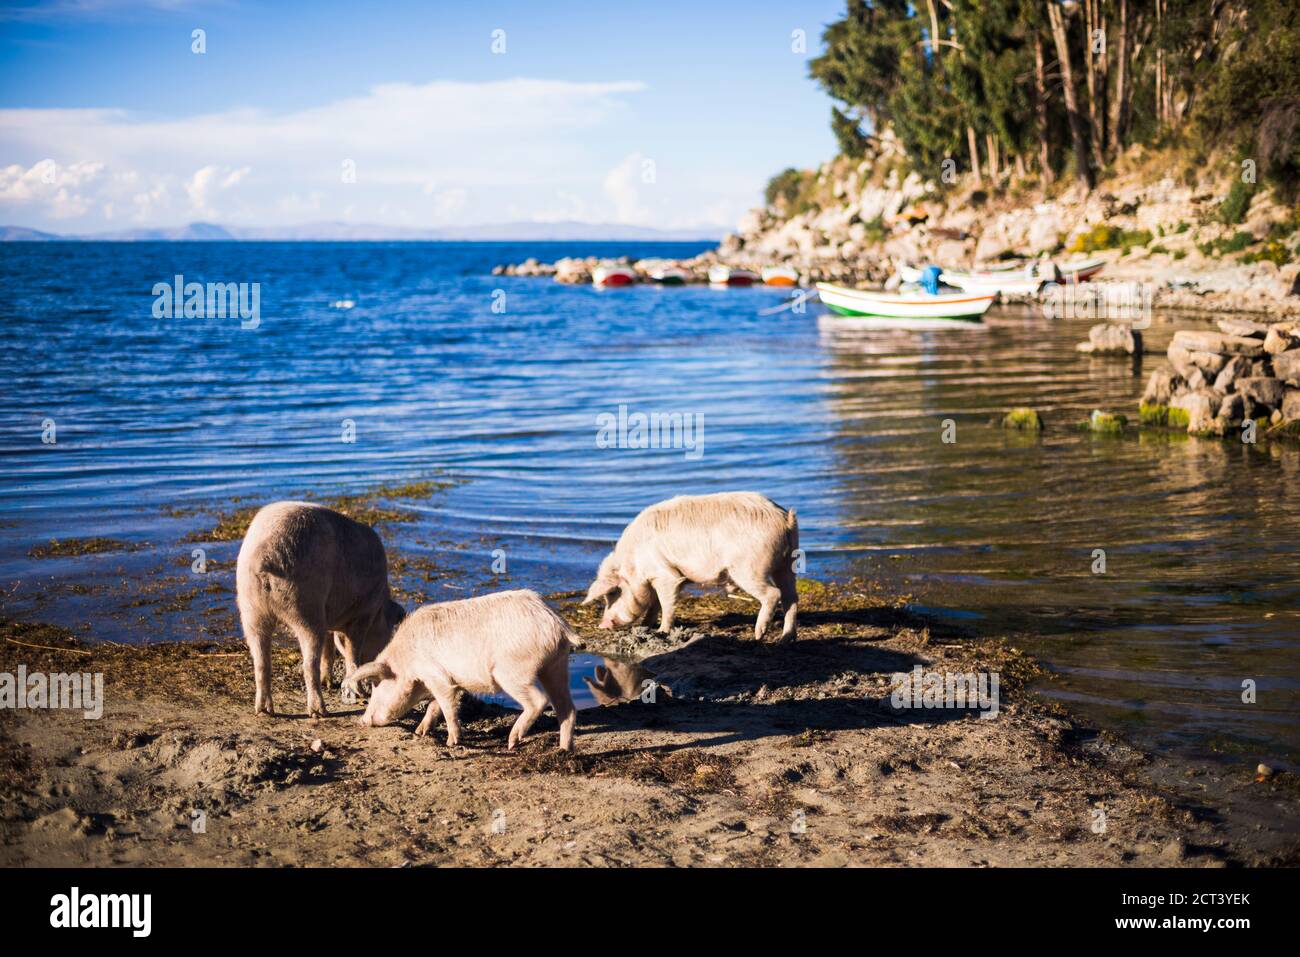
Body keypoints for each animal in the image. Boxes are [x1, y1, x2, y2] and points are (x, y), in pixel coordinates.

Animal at [236, 501, 405, 717]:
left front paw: (329, 683)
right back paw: (319, 712)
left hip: (250, 609)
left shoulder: (329, 618)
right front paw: (360, 694)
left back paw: (265, 711)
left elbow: (329, 649)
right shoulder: (363, 613)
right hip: (305, 607)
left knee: (261, 661)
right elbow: (352, 652)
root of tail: (264, 554)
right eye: (387, 635)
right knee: (308, 664)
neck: (379, 607)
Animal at [344, 589, 583, 752]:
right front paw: (420, 732)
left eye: (377, 685)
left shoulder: (435, 674)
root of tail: (556, 623)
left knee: (539, 701)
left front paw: (451, 742)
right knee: (567, 708)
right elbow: (435, 706)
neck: (406, 661)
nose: (362, 720)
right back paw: (564, 749)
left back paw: (512, 742)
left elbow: (445, 705)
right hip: (556, 665)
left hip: (512, 672)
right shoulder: (453, 680)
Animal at [583, 491, 799, 642]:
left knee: (773, 594)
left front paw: (662, 631)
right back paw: (785, 639)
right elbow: (655, 604)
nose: (602, 624)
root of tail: (784, 519)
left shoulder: (666, 575)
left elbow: (665, 604)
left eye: (613, 593)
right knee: (791, 597)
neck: (634, 562)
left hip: (749, 568)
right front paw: (646, 625)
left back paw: (759, 635)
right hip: (787, 564)